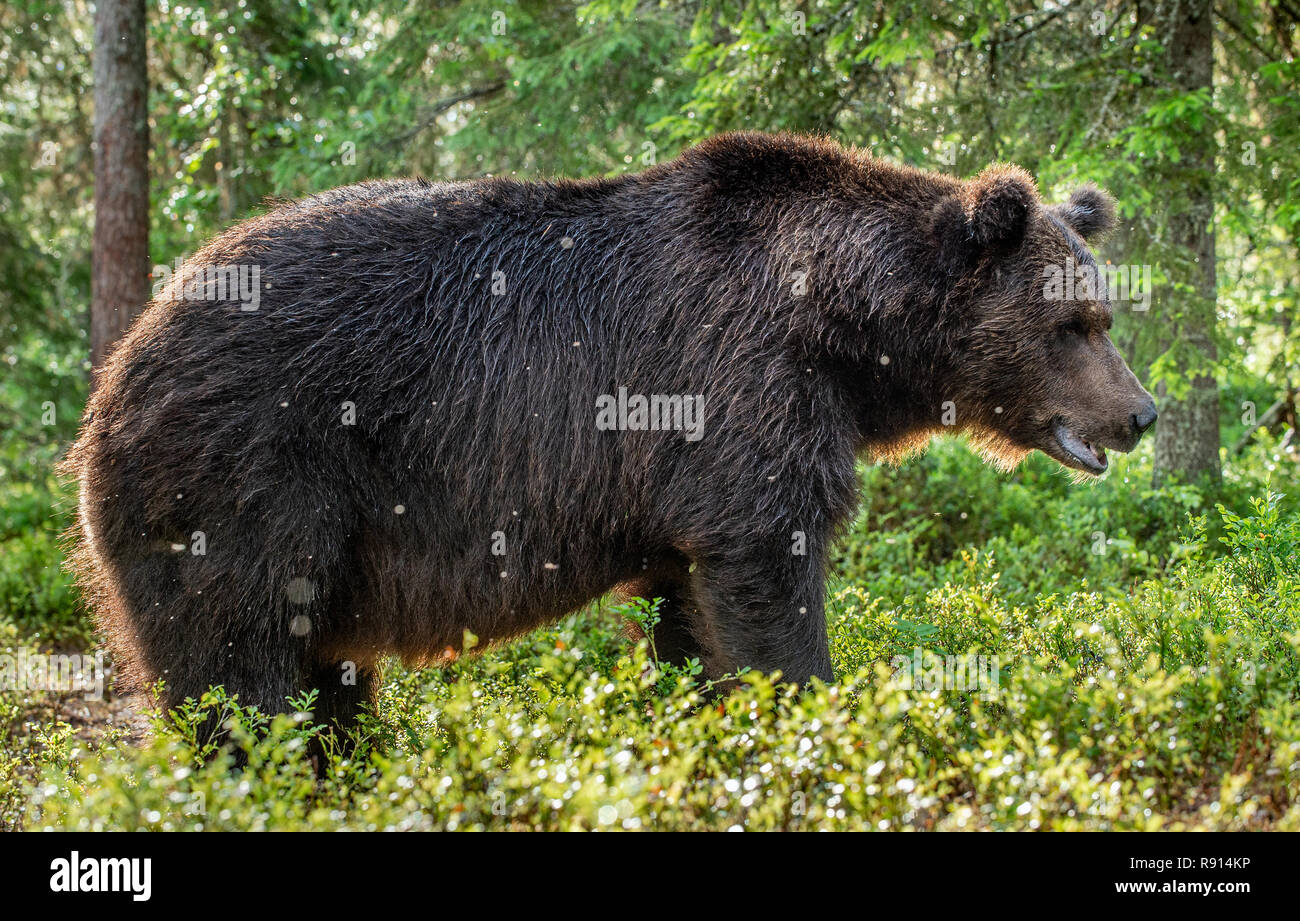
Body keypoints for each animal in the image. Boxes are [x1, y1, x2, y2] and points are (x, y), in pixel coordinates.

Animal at [64, 131, 1156, 748]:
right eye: (1075, 324)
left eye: (1103, 312)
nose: (1140, 414)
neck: (842, 332)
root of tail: (117, 366)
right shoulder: (740, 392)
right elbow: (772, 576)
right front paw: (812, 718)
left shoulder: (683, 487)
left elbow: (691, 610)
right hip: (245, 476)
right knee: (237, 666)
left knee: (327, 680)